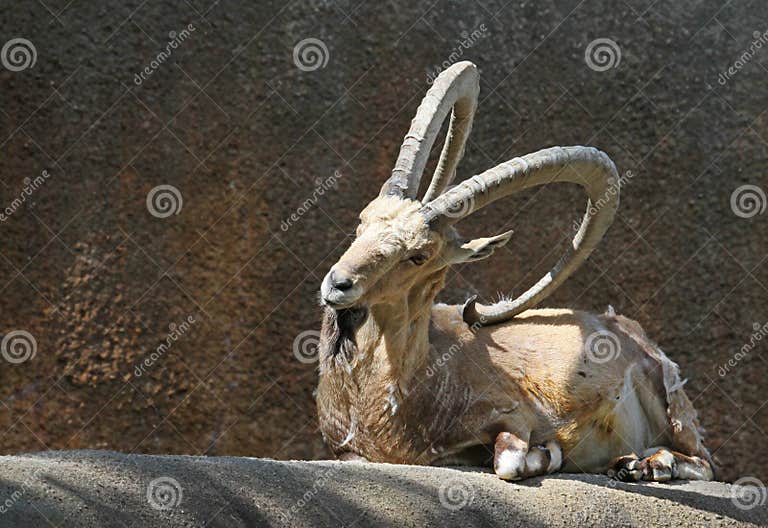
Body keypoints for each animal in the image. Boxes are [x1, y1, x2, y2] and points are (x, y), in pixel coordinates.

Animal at [315, 61, 714, 482]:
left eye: (419, 255)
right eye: (362, 222)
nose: (338, 284)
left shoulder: (514, 413)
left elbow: (508, 461)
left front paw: (548, 453)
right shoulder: (347, 450)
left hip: (668, 397)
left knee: (702, 460)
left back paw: (652, 462)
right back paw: (626, 462)